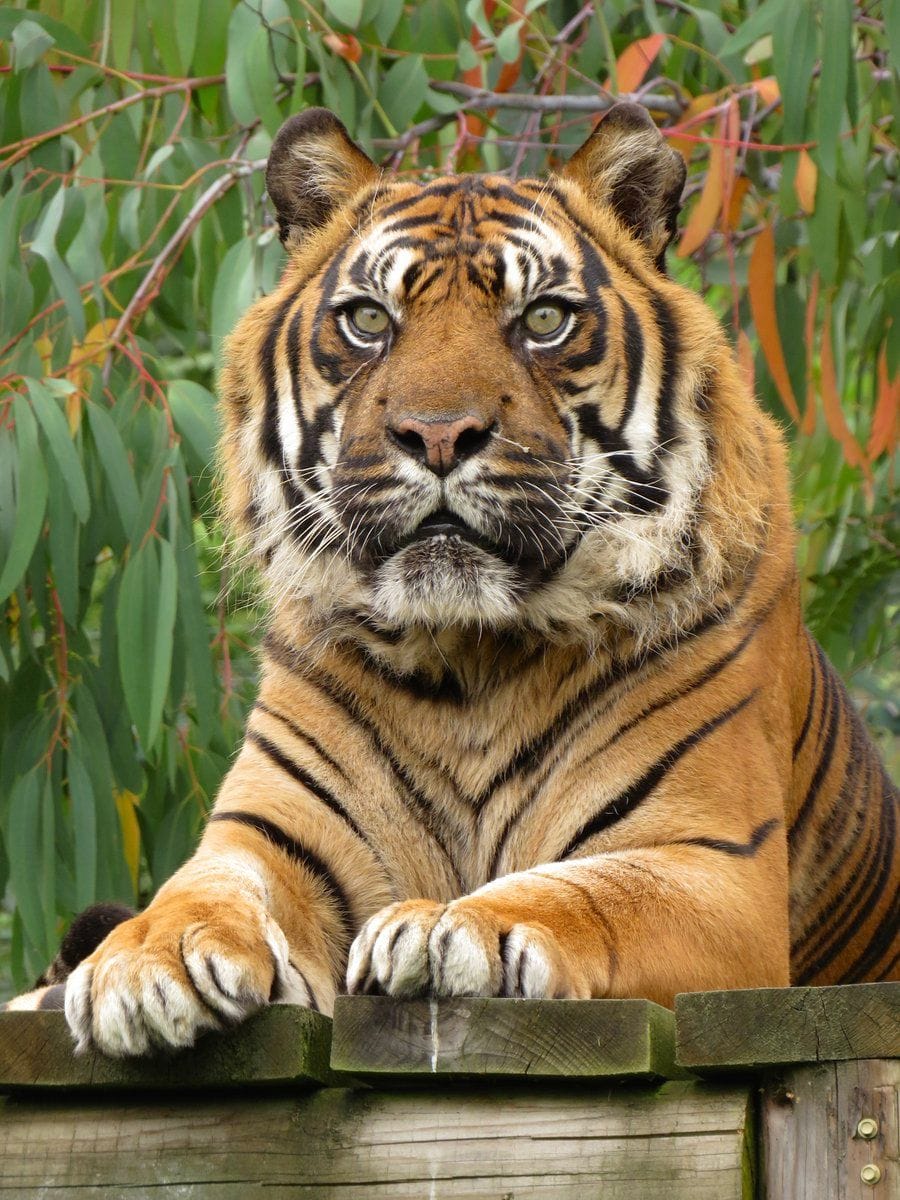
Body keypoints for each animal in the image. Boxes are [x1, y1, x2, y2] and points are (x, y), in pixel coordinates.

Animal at [6, 103, 897, 1055]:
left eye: (542, 319)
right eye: (369, 319)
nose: (437, 434)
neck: (468, 660)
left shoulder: (711, 863)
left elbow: (590, 890)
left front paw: (449, 925)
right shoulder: (266, 836)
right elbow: (200, 889)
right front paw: (145, 961)